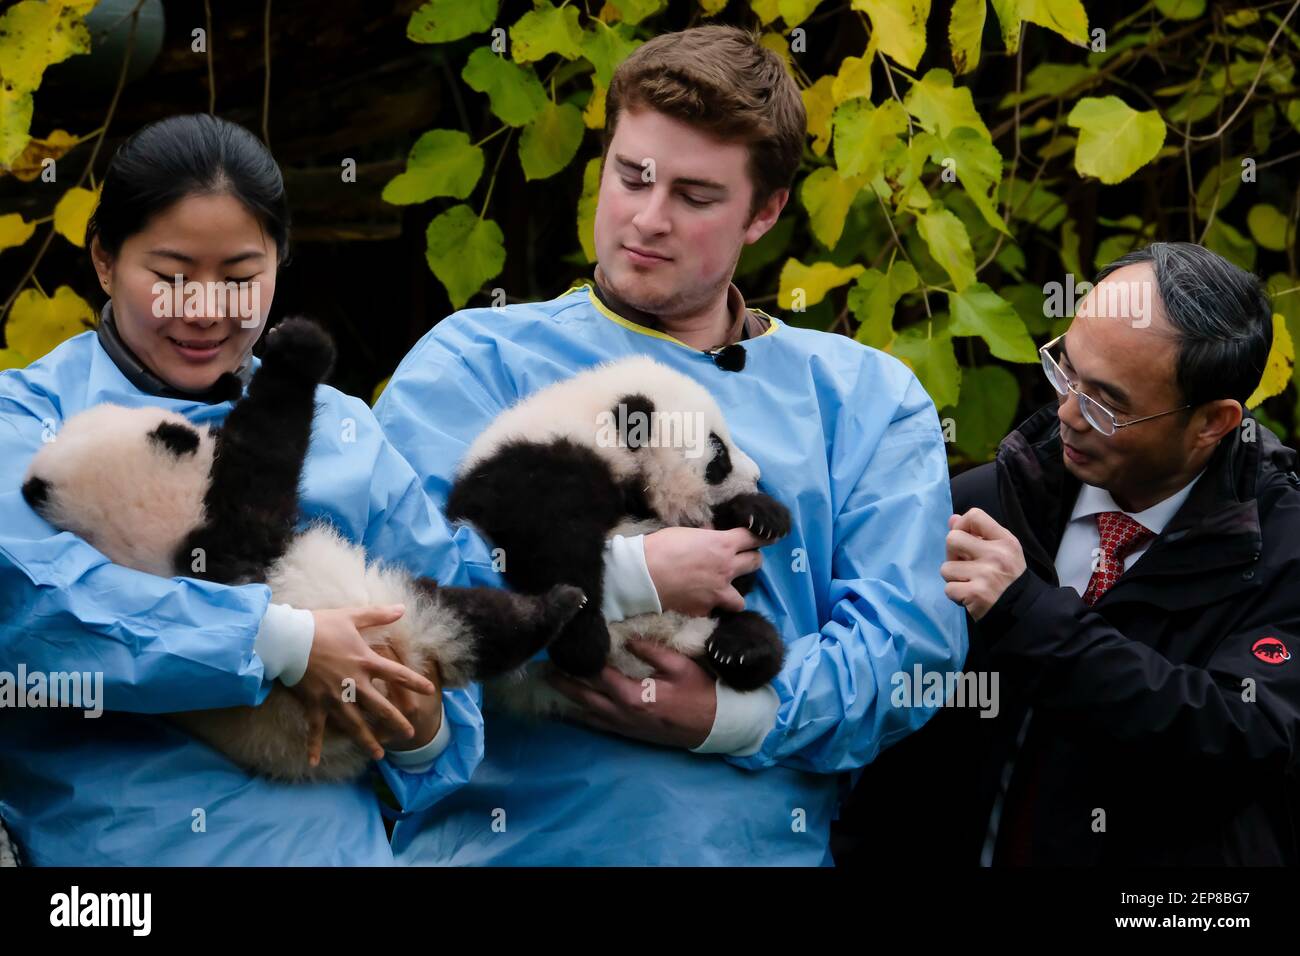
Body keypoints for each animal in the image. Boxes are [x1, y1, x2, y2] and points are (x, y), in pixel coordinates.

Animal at [21, 318, 585, 782]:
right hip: (413, 622)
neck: (141, 534)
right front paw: (299, 346)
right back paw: (557, 606)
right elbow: (272, 438)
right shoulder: (232, 522)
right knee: (477, 626)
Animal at [446, 356, 791, 719]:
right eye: (719, 455)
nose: (757, 476)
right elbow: (548, 543)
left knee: (755, 640)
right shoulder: (530, 472)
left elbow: (737, 581)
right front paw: (583, 641)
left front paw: (762, 515)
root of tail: (682, 639)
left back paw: (741, 648)